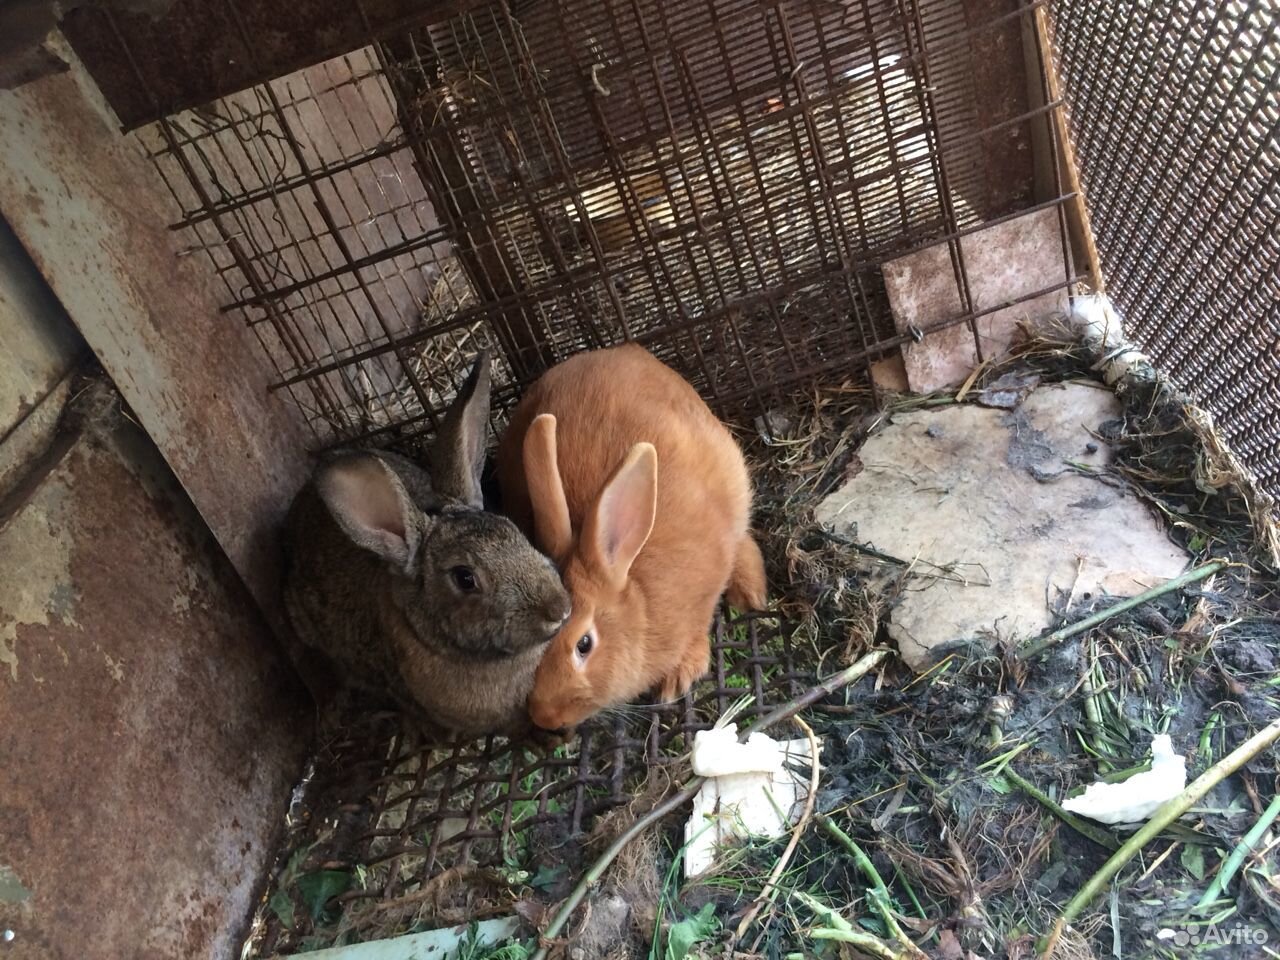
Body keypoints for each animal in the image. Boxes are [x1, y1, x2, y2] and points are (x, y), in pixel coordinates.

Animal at [495, 343, 768, 734]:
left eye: (584, 644)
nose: (545, 717)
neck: (639, 598)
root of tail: (628, 349)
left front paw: (680, 675)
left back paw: (750, 593)